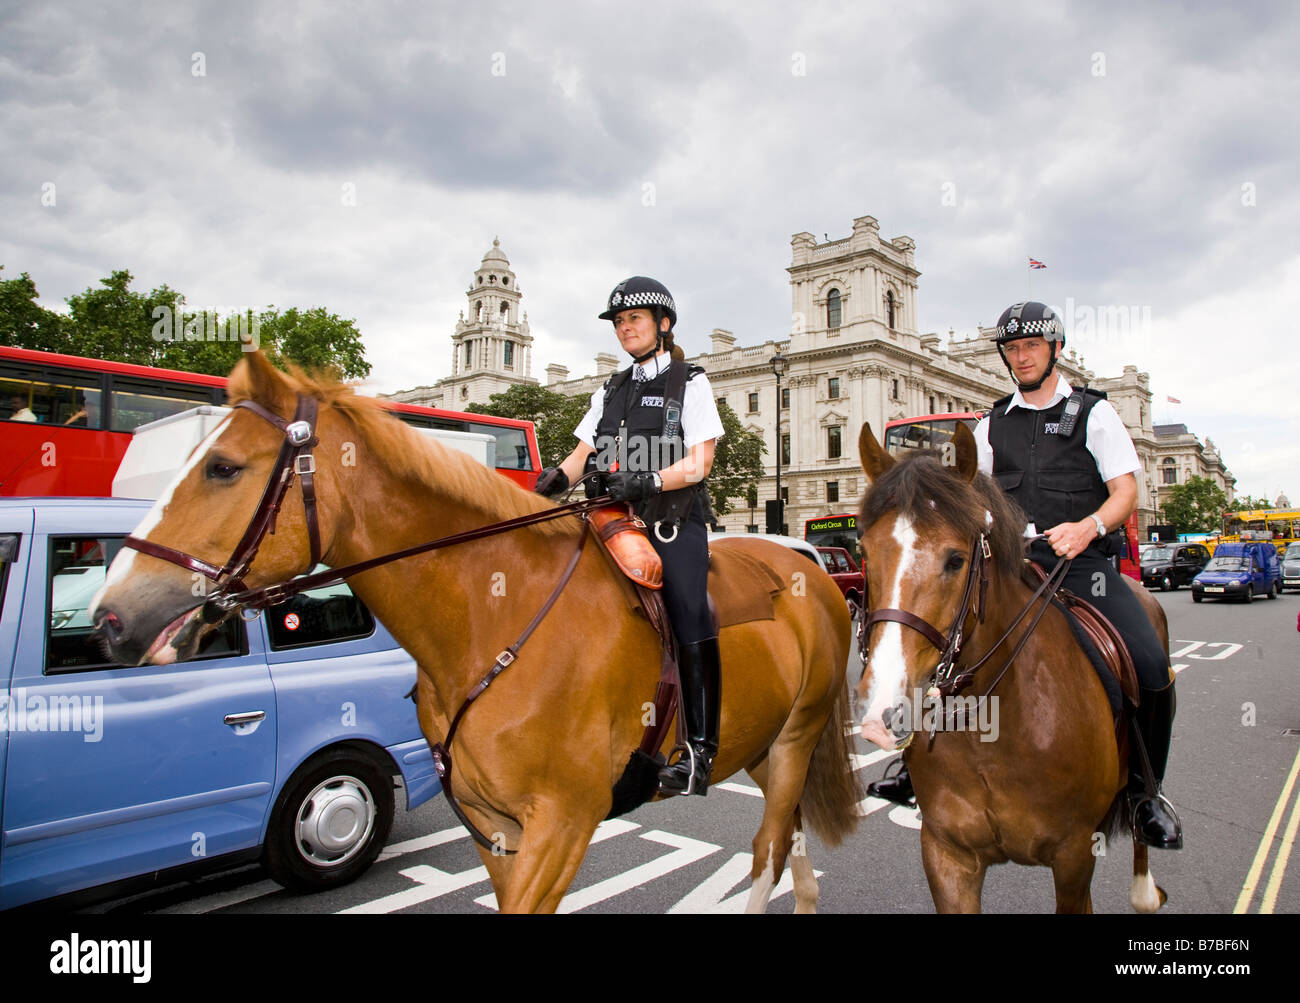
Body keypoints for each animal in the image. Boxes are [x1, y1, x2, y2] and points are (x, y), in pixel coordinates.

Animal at [89, 351, 863, 913]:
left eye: (223, 468)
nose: (110, 618)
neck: (490, 614)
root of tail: (809, 566)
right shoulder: (495, 828)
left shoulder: (563, 823)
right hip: (759, 743)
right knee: (790, 843)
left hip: (793, 739)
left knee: (766, 852)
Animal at [853, 421, 1171, 914]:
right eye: (863, 550)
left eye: (956, 559)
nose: (880, 712)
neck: (991, 732)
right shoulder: (946, 853)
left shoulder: (1075, 855)